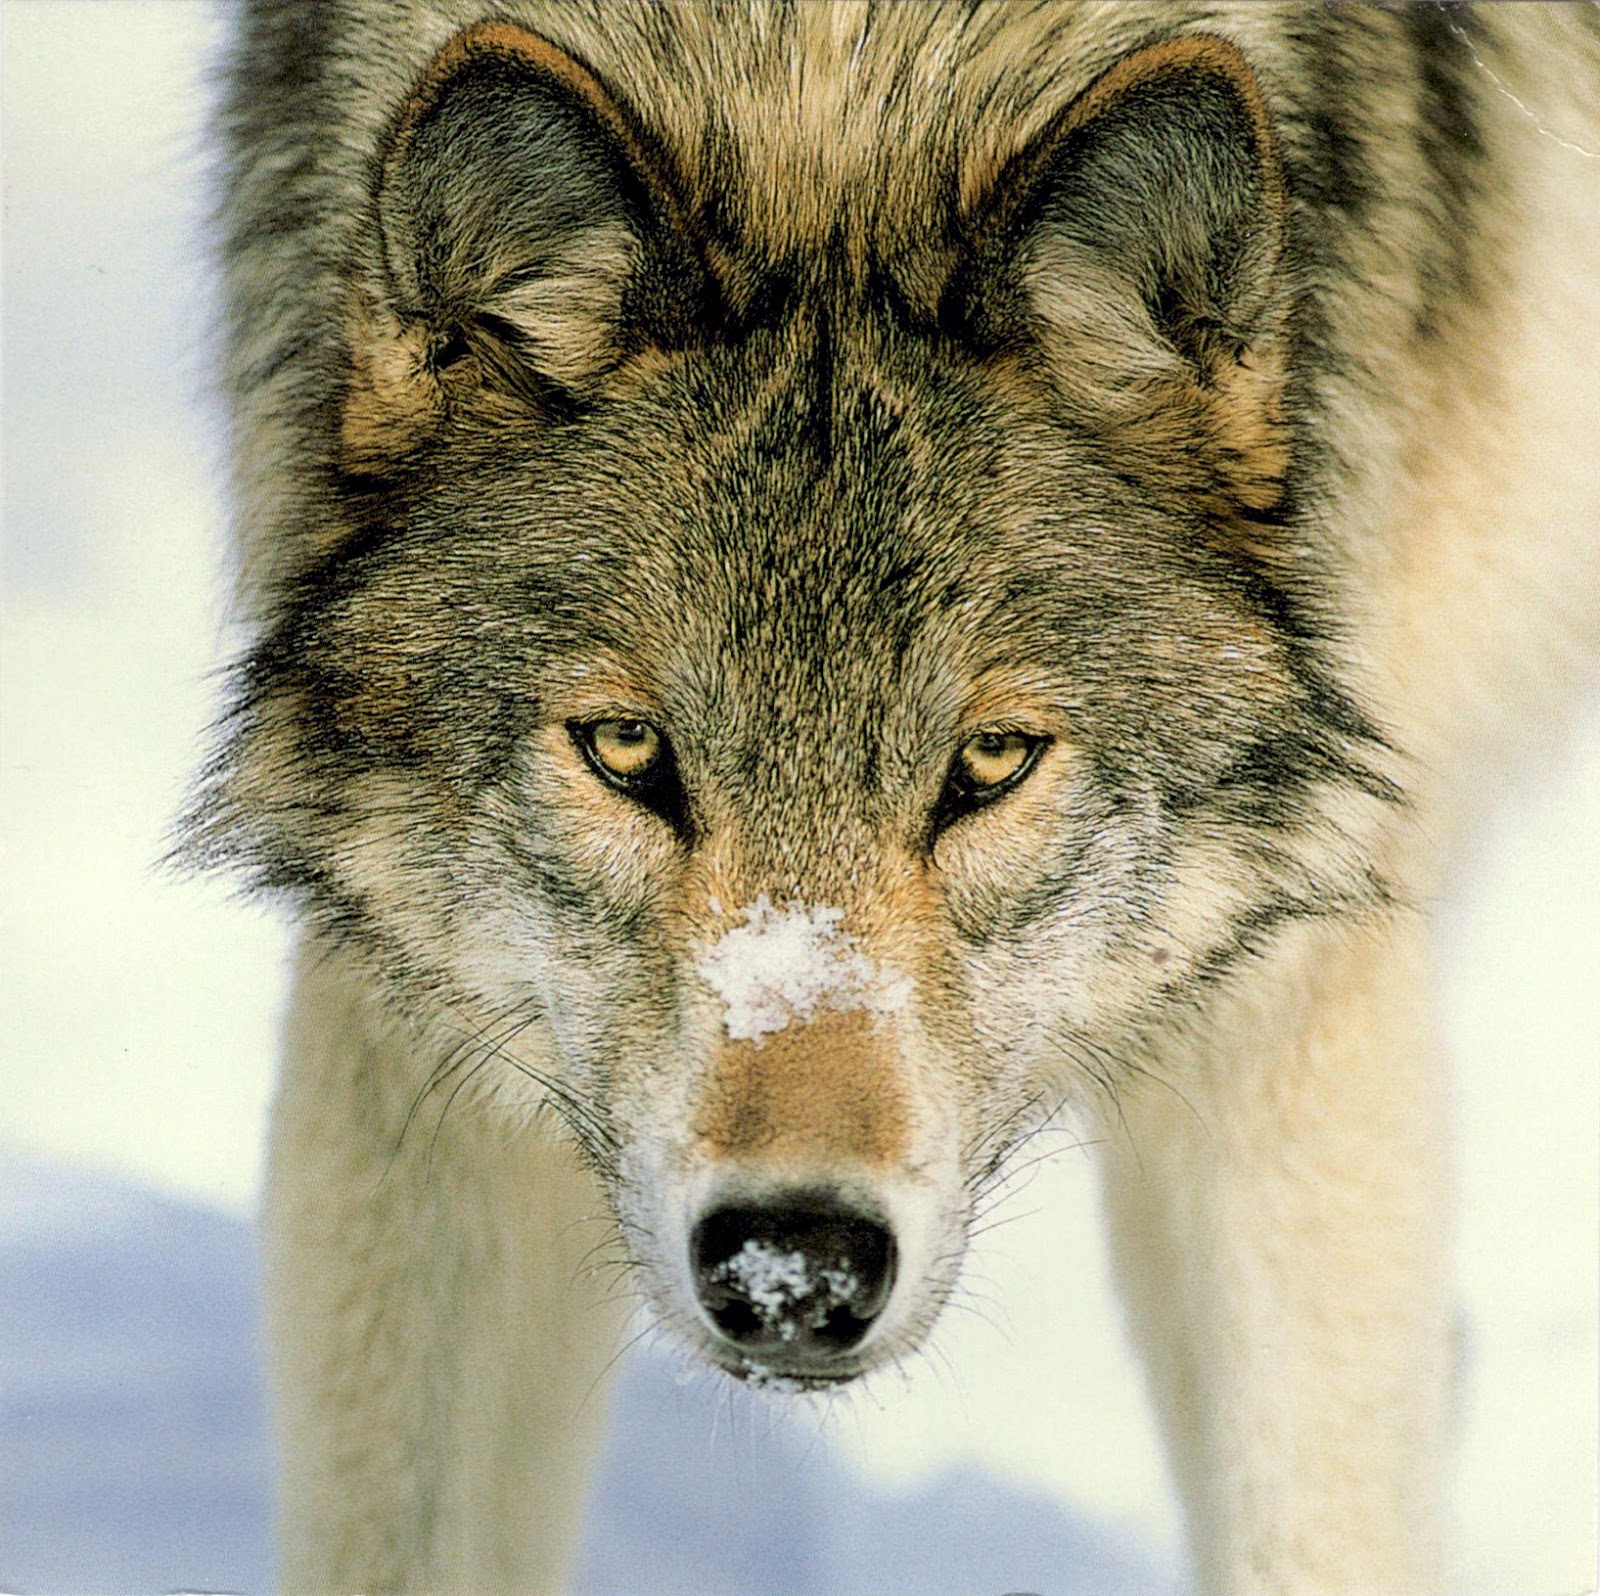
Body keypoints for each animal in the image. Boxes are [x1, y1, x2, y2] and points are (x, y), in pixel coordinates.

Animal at [191, 3, 1600, 1591]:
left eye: (988, 765)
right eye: (626, 749)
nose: (794, 1268)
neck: (832, 76)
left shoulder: (1288, 999)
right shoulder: (420, 1044)